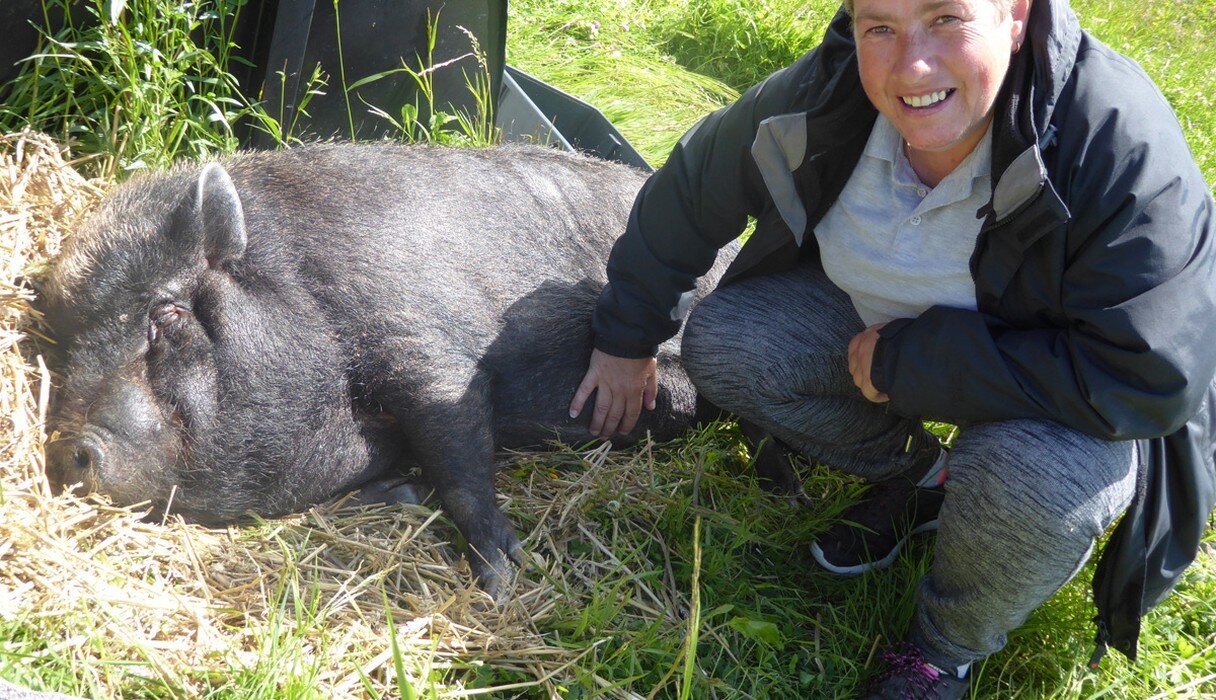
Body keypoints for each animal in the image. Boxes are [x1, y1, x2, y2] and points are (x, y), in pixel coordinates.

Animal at [39, 143, 750, 594]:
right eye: (64, 346)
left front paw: (505, 576)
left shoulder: (421, 339)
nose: (66, 447)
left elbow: (456, 446)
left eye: (165, 314)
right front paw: (405, 496)